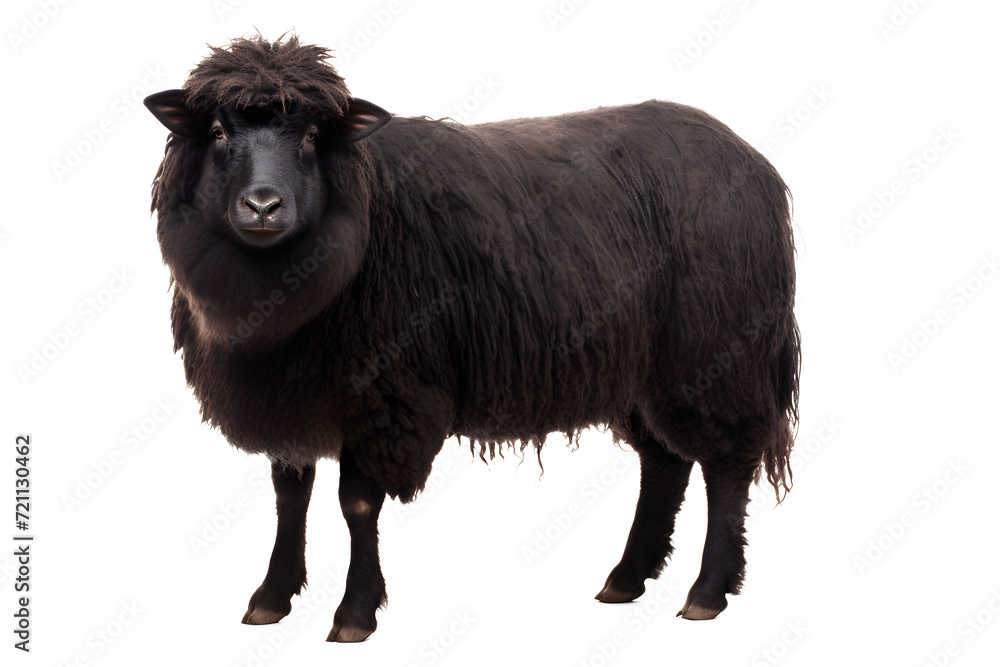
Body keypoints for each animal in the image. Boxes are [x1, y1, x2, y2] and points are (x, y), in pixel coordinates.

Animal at [145, 35, 800, 643]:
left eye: (311, 136)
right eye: (216, 131)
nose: (263, 206)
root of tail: (755, 163)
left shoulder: (384, 394)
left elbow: (356, 504)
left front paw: (355, 613)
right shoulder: (291, 395)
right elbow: (289, 497)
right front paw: (272, 596)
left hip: (715, 353)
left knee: (726, 465)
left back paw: (707, 591)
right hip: (643, 373)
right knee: (665, 464)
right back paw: (627, 578)